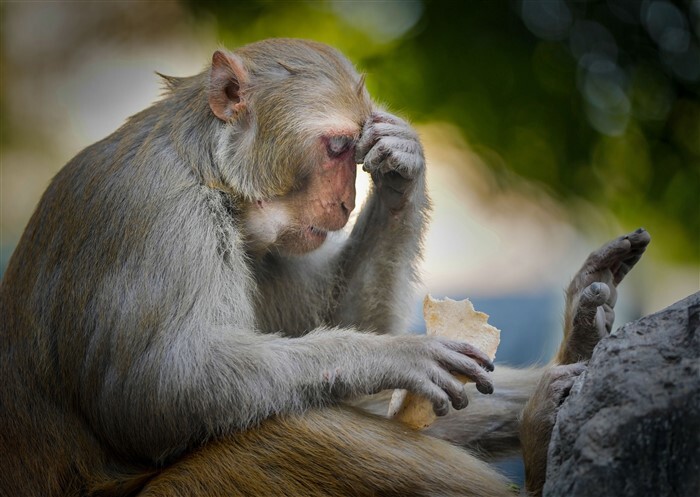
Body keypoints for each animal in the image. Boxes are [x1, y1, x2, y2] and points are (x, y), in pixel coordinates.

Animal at [0, 38, 650, 496]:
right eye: (336, 147)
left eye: (358, 152)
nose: (343, 203)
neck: (210, 171)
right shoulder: (158, 212)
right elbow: (158, 389)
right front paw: (394, 356)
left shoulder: (269, 244)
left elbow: (333, 319)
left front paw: (402, 172)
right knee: (295, 425)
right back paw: (541, 449)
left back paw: (569, 365)